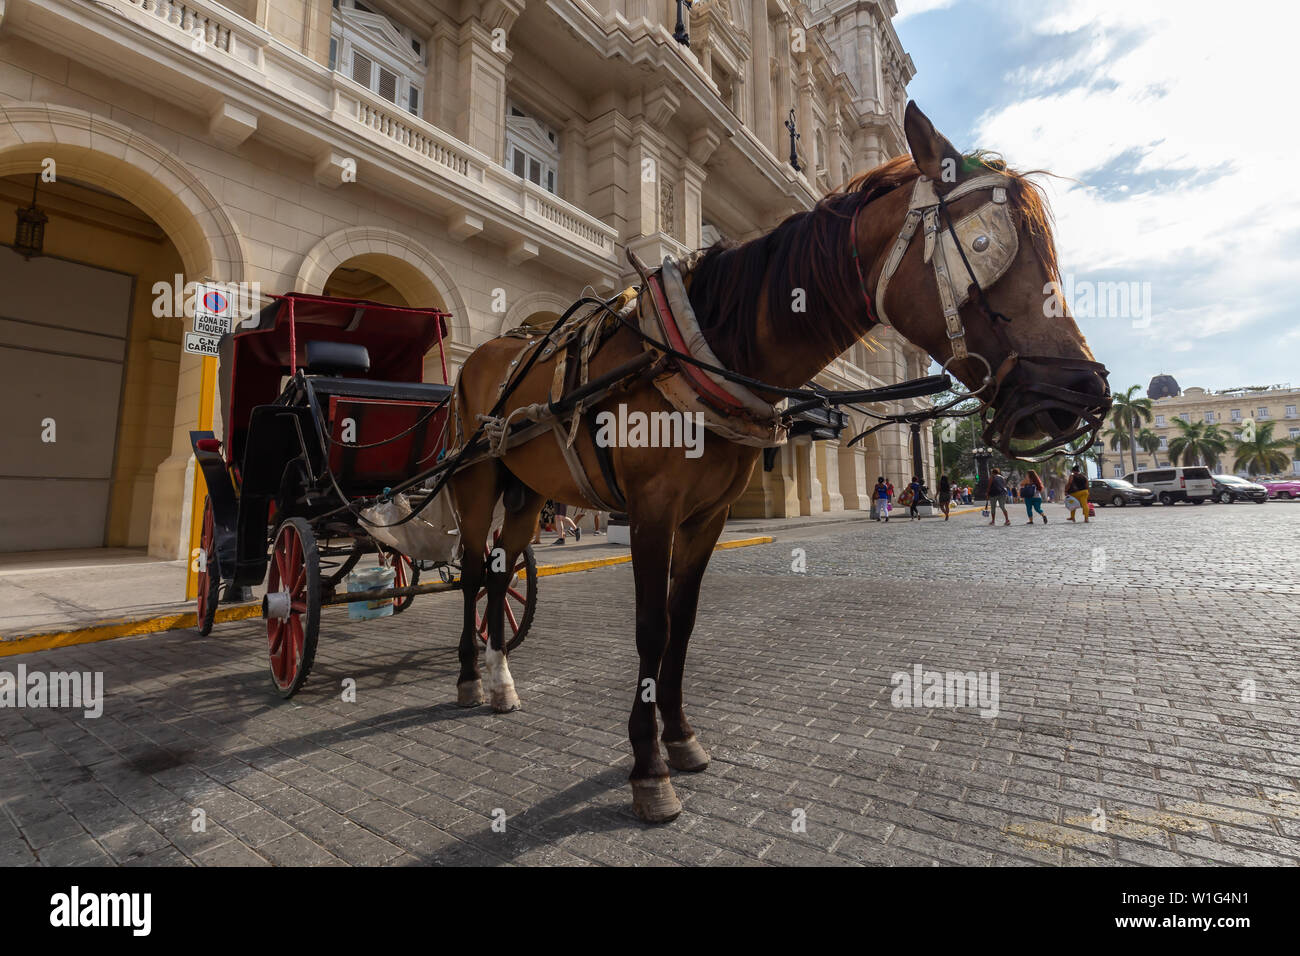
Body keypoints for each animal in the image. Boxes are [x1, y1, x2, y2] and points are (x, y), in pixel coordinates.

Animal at [447, 102, 1111, 823]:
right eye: (988, 245)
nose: (1086, 390)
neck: (702, 349)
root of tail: (489, 354)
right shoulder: (651, 509)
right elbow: (651, 627)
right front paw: (648, 767)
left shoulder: (706, 517)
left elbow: (683, 623)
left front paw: (680, 737)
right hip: (475, 479)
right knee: (473, 569)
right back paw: (468, 676)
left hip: (528, 489)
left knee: (500, 571)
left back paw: (501, 680)